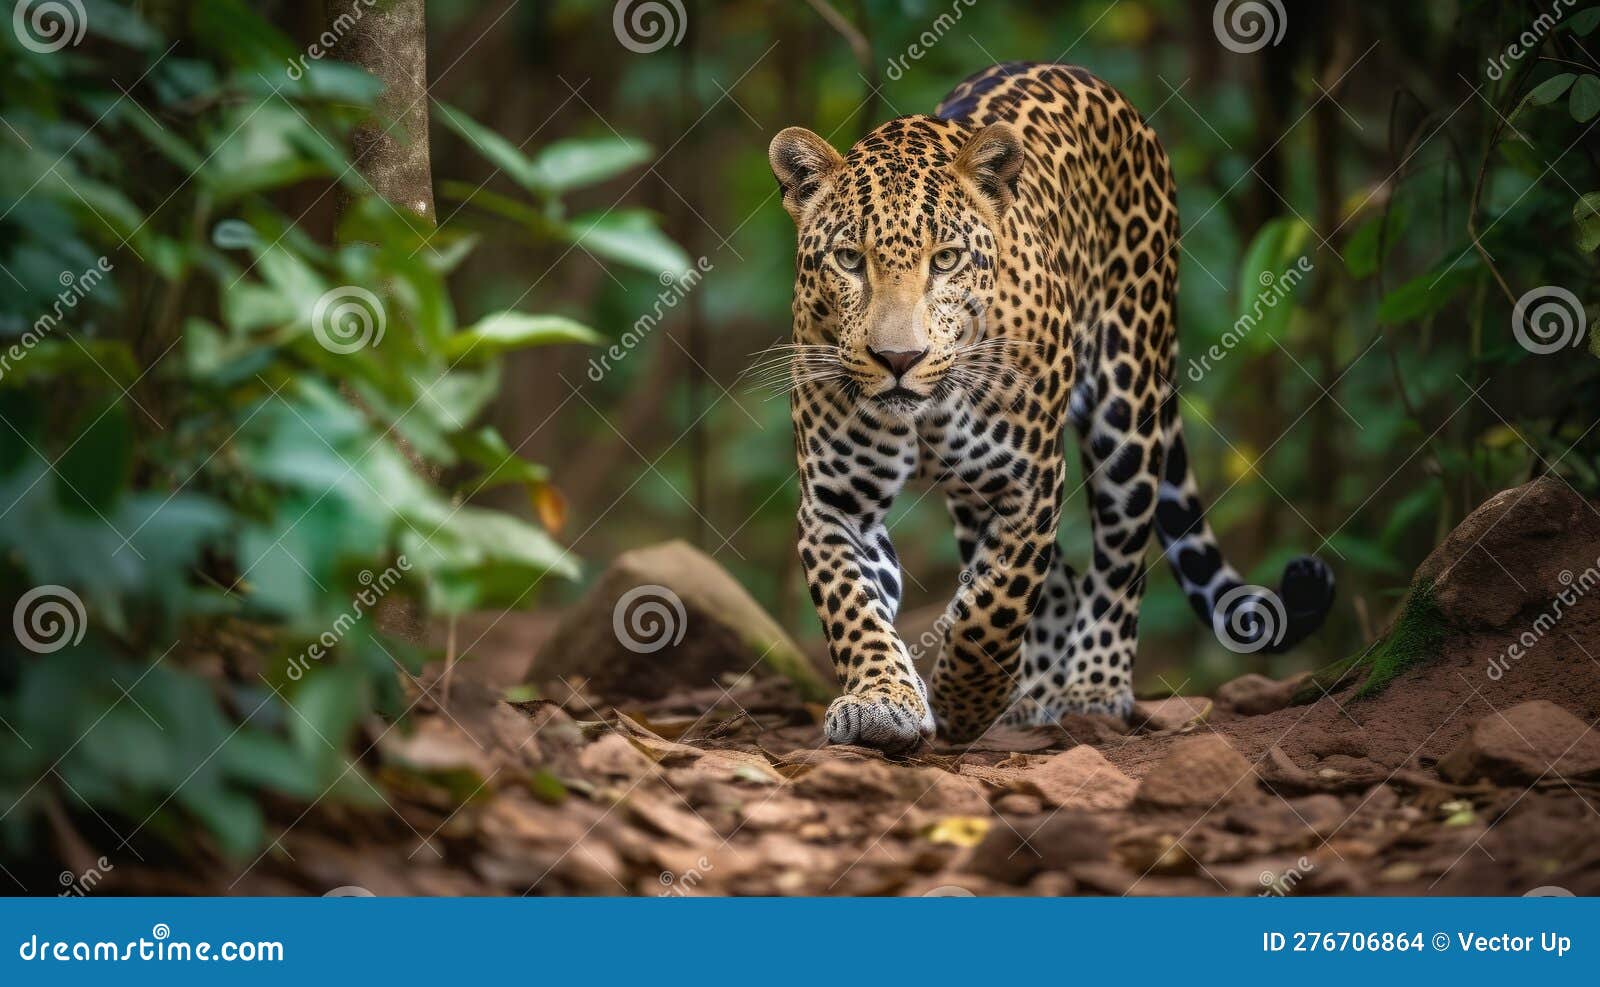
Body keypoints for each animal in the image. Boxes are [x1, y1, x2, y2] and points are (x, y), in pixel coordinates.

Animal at [767, 62, 1336, 753]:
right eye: (850, 260)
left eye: (946, 260)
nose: (898, 358)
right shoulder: (836, 501)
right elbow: (853, 607)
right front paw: (883, 701)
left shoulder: (1028, 483)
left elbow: (997, 604)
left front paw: (964, 699)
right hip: (972, 497)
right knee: (1056, 579)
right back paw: (1034, 691)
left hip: (1128, 407)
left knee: (1118, 561)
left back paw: (1090, 686)